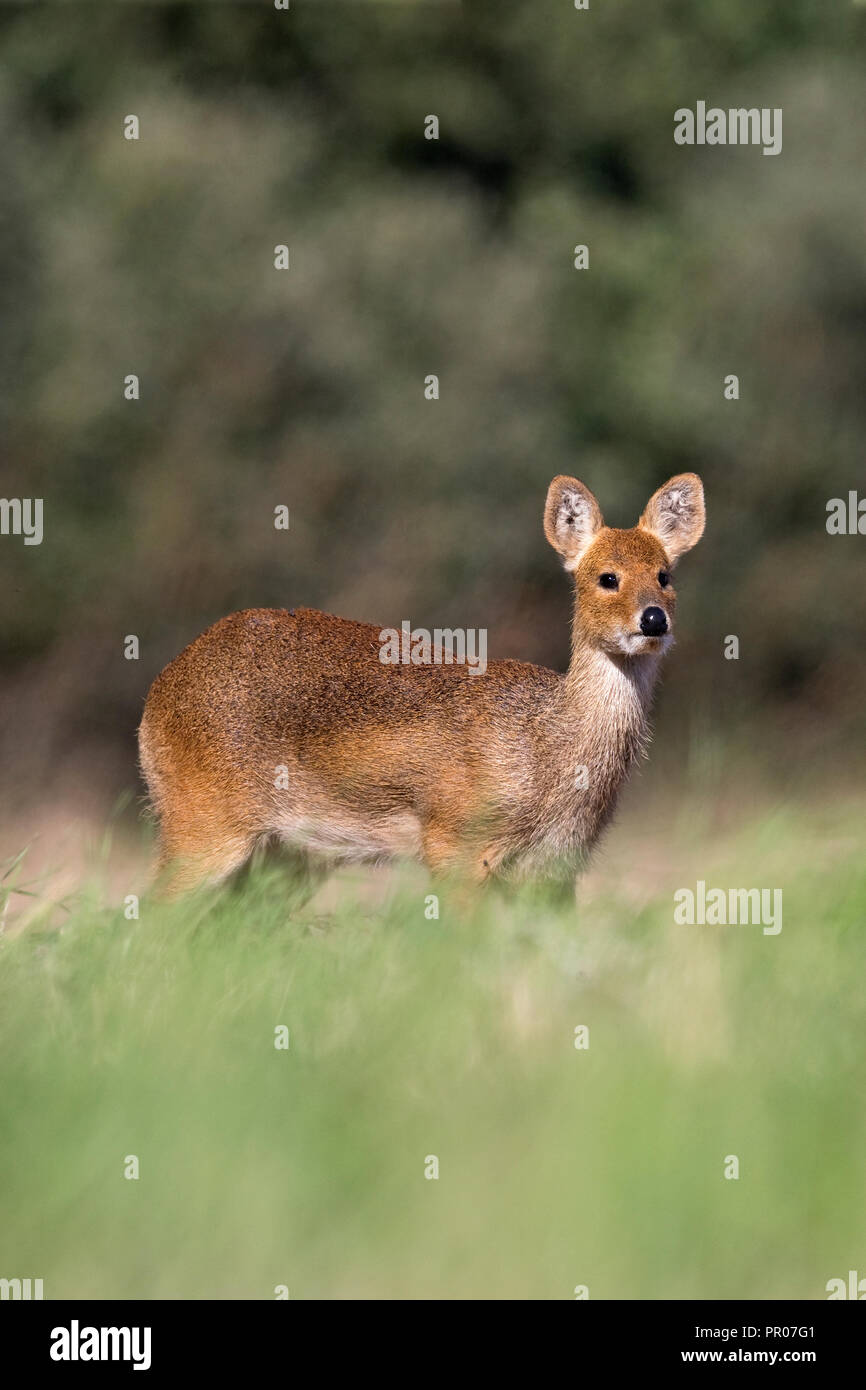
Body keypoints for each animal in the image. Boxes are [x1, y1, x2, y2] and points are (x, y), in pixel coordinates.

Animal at [138, 474, 704, 898]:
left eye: (665, 575)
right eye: (606, 577)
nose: (653, 620)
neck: (548, 748)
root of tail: (158, 695)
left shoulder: (554, 870)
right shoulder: (453, 844)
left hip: (286, 857)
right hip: (206, 826)